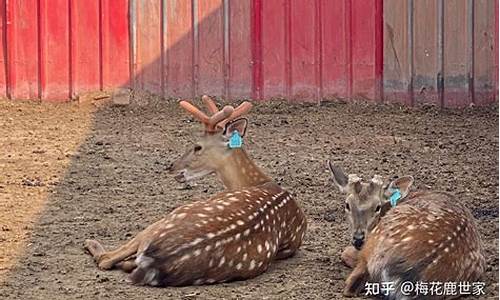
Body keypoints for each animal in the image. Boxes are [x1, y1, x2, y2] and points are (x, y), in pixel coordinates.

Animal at [84, 96, 306, 286]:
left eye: (197, 146)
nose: (171, 167)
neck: (257, 181)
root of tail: (157, 260)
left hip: (171, 216)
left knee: (107, 259)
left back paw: (90, 241)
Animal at [326, 162, 486, 298]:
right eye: (347, 205)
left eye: (377, 207)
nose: (358, 239)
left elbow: (345, 253)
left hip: (377, 240)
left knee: (351, 285)